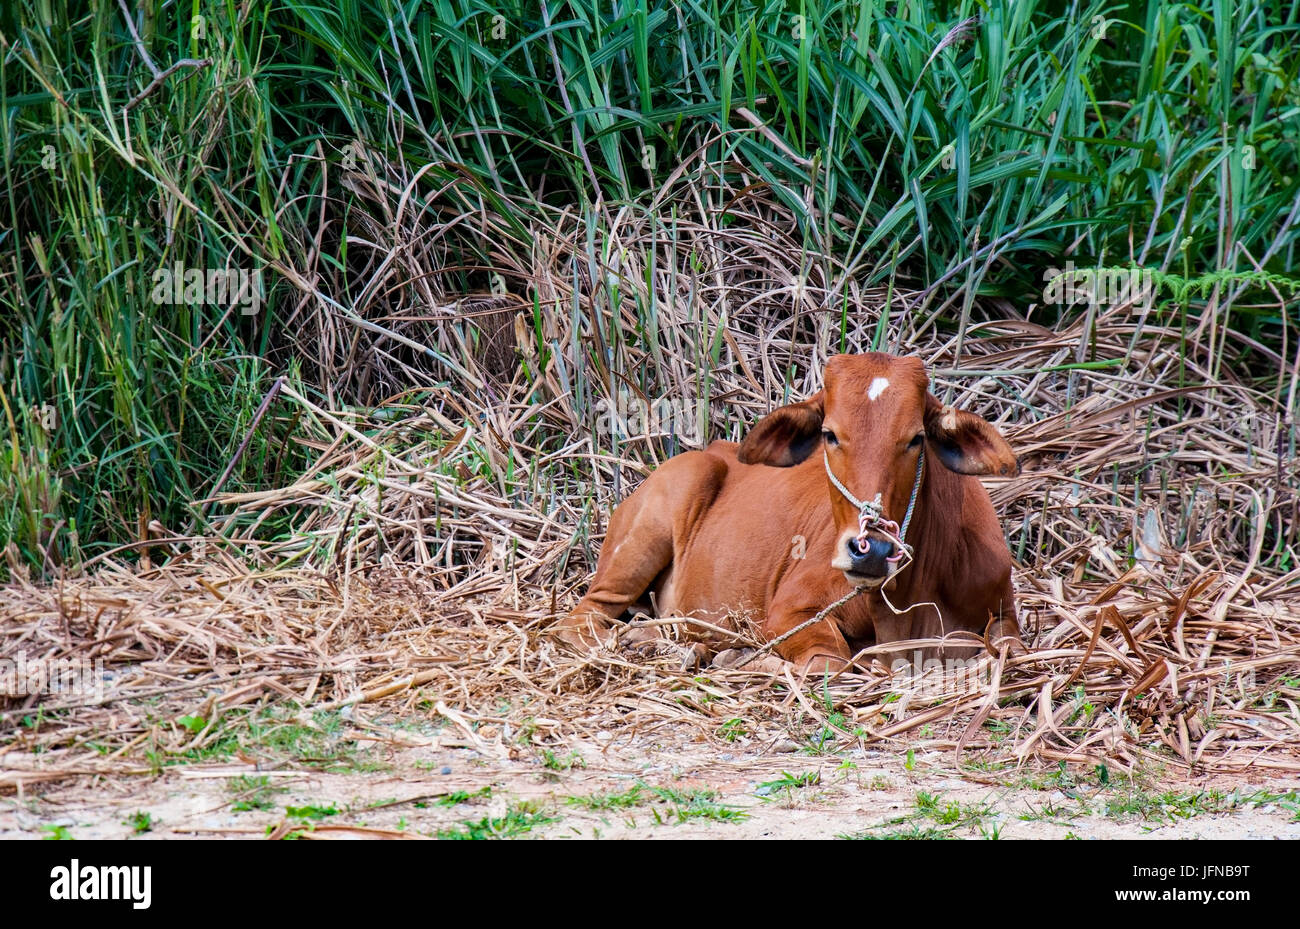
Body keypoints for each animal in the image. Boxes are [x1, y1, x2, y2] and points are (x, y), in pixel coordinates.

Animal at [552, 352, 1023, 673]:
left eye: (915, 438)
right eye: (829, 434)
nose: (869, 550)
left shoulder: (1004, 616)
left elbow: (1010, 651)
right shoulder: (790, 610)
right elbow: (831, 663)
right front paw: (741, 656)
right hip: (653, 522)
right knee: (579, 620)